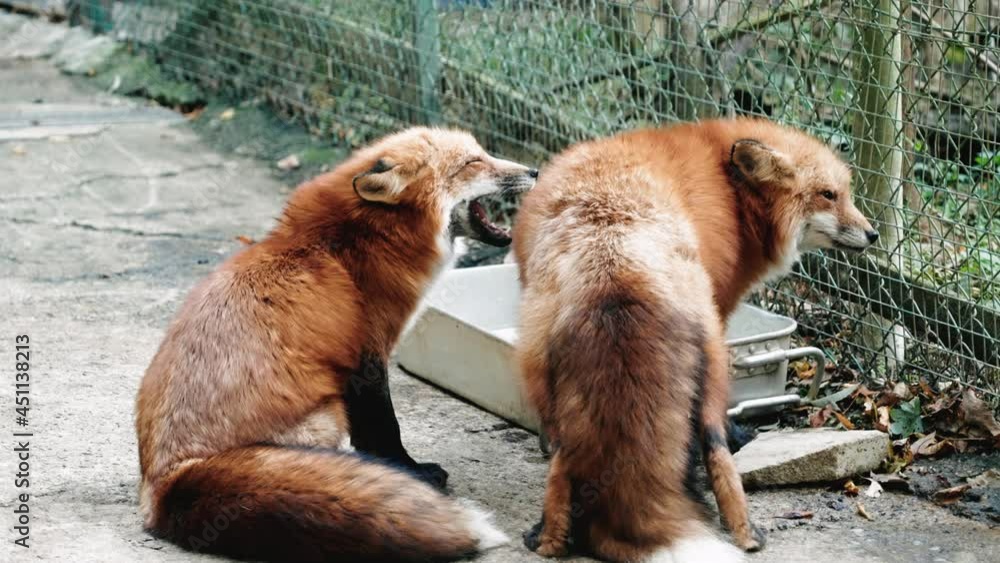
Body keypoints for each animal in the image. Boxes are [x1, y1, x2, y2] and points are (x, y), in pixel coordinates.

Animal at [135, 127, 537, 562]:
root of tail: (165, 484)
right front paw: (408, 472)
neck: (353, 243)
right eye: (473, 163)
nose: (534, 170)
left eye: (482, 153)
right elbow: (383, 428)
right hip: (328, 415)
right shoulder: (366, 356)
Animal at [512, 118, 876, 563]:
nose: (874, 234)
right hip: (716, 364)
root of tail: (614, 263)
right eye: (829, 195)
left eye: (845, 194)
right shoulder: (723, 301)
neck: (730, 189)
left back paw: (549, 539)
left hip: (545, 378)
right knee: (715, 447)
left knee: (563, 459)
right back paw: (746, 532)